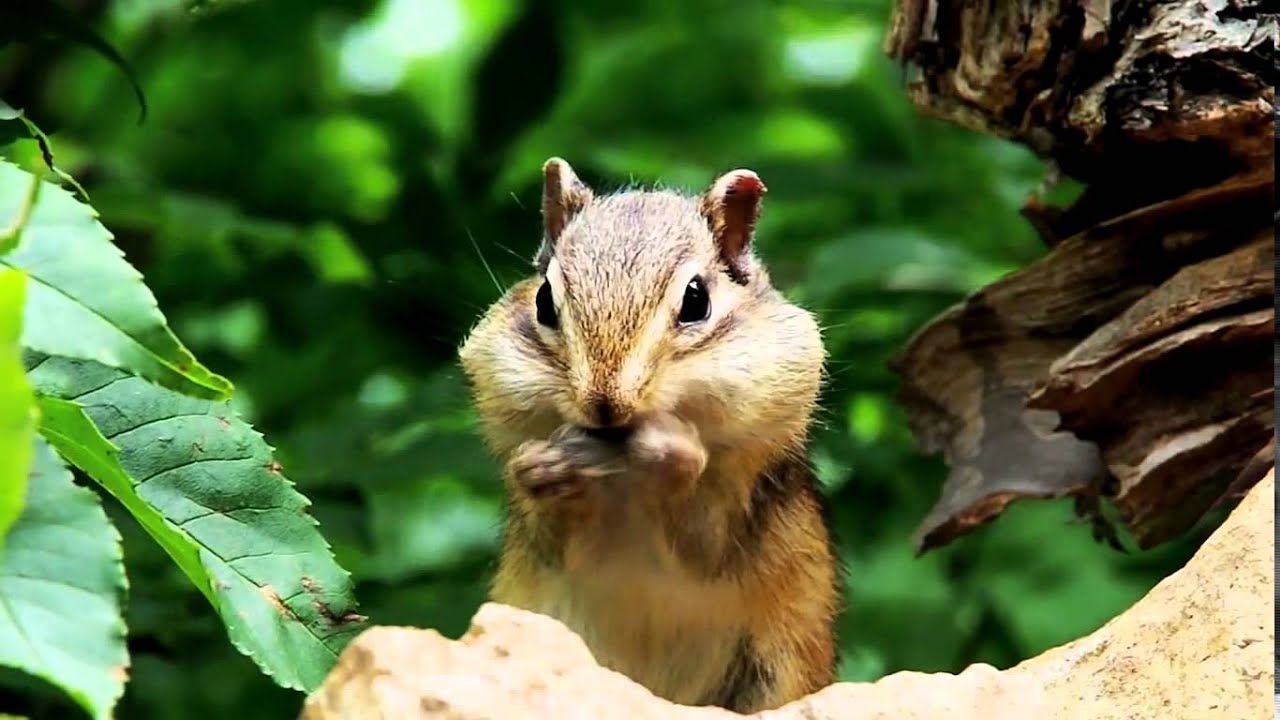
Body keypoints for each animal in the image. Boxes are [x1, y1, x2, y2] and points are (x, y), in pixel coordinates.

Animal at [458, 158, 842, 713]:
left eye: (696, 299)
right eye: (545, 300)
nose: (606, 405)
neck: (621, 479)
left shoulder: (739, 494)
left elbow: (705, 538)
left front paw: (669, 453)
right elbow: (549, 532)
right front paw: (538, 469)